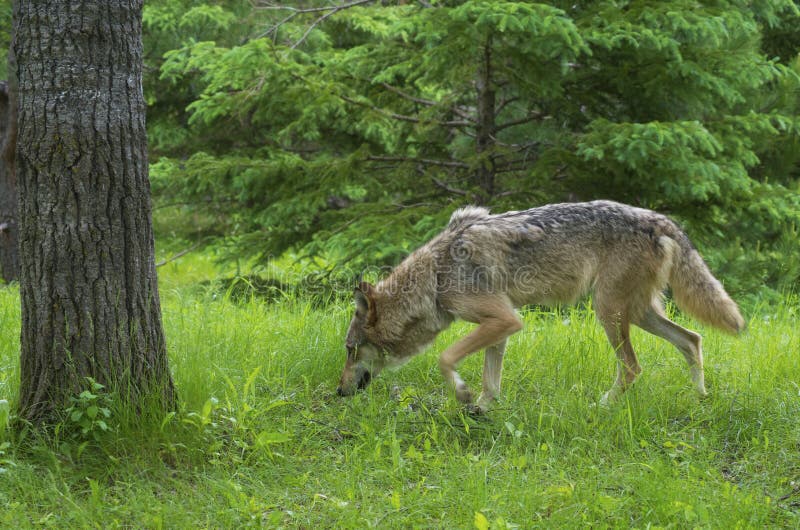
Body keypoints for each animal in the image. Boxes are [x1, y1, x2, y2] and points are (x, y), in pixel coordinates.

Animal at [337, 200, 744, 411]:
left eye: (350, 350)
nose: (339, 391)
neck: (435, 277)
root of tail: (662, 219)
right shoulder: (500, 326)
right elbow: (491, 381)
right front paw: (481, 409)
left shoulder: (503, 319)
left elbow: (445, 358)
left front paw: (464, 395)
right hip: (639, 313)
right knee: (691, 340)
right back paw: (701, 399)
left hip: (608, 311)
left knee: (632, 366)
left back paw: (601, 406)